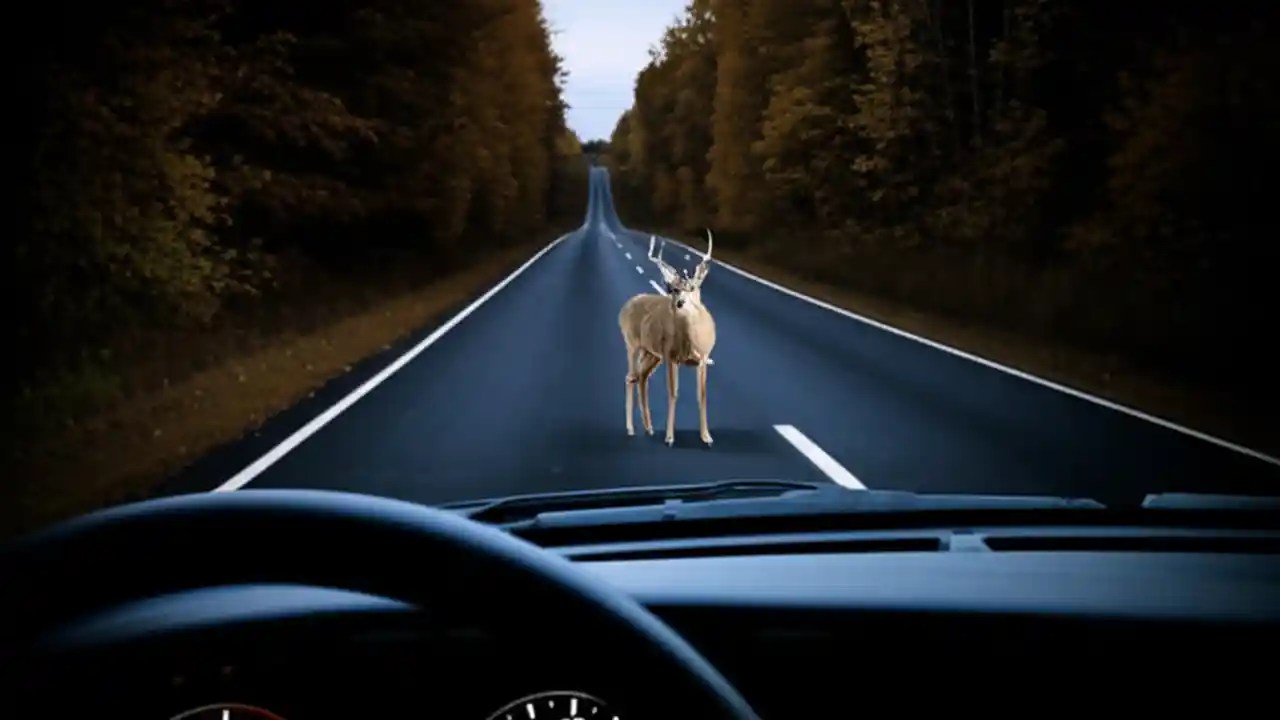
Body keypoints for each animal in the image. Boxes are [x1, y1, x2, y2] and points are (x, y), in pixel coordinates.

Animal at [618, 230, 717, 446]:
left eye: (692, 288)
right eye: (673, 289)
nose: (679, 303)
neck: (690, 343)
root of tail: (625, 307)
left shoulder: (703, 358)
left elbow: (702, 395)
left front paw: (706, 437)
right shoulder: (671, 357)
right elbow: (673, 393)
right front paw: (670, 437)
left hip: (652, 353)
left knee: (642, 376)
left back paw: (649, 428)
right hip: (632, 343)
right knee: (630, 377)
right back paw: (630, 429)